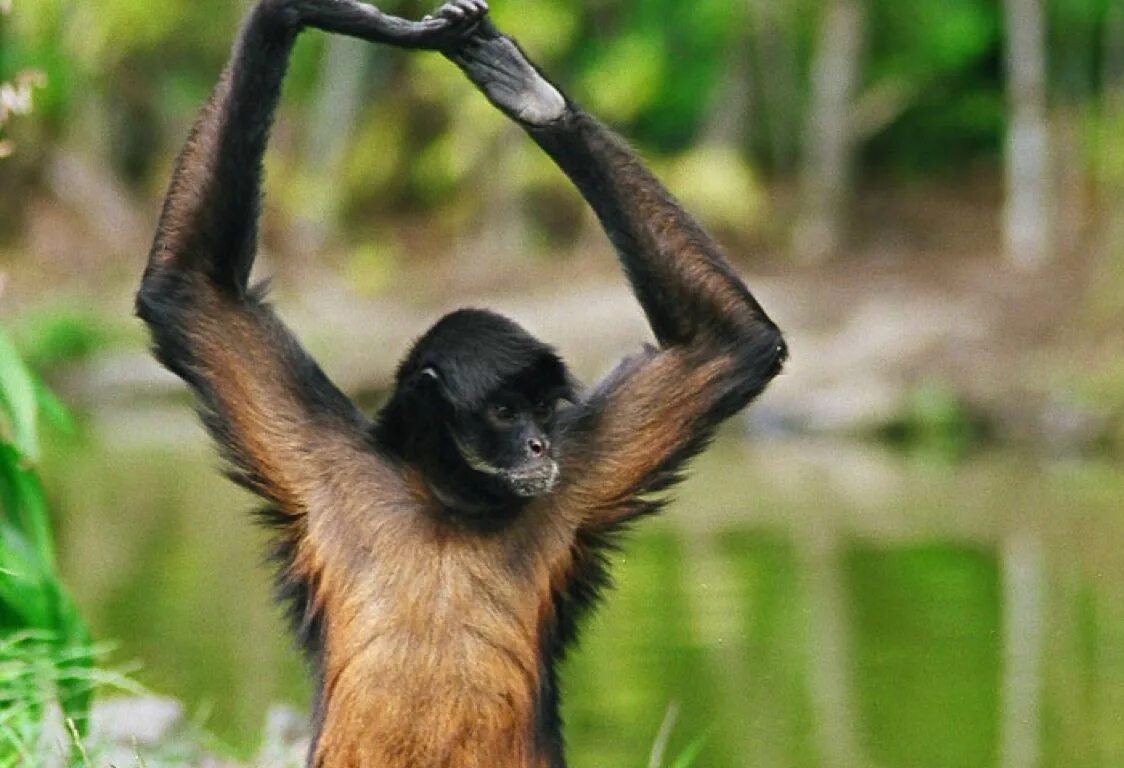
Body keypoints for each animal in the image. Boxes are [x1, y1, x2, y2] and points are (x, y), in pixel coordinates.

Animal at [135, 1, 787, 766]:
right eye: (505, 411)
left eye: (542, 410)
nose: (538, 446)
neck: (446, 503)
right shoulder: (325, 457)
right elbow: (191, 292)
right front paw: (311, 11)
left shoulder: (577, 472)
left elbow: (729, 349)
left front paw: (532, 94)